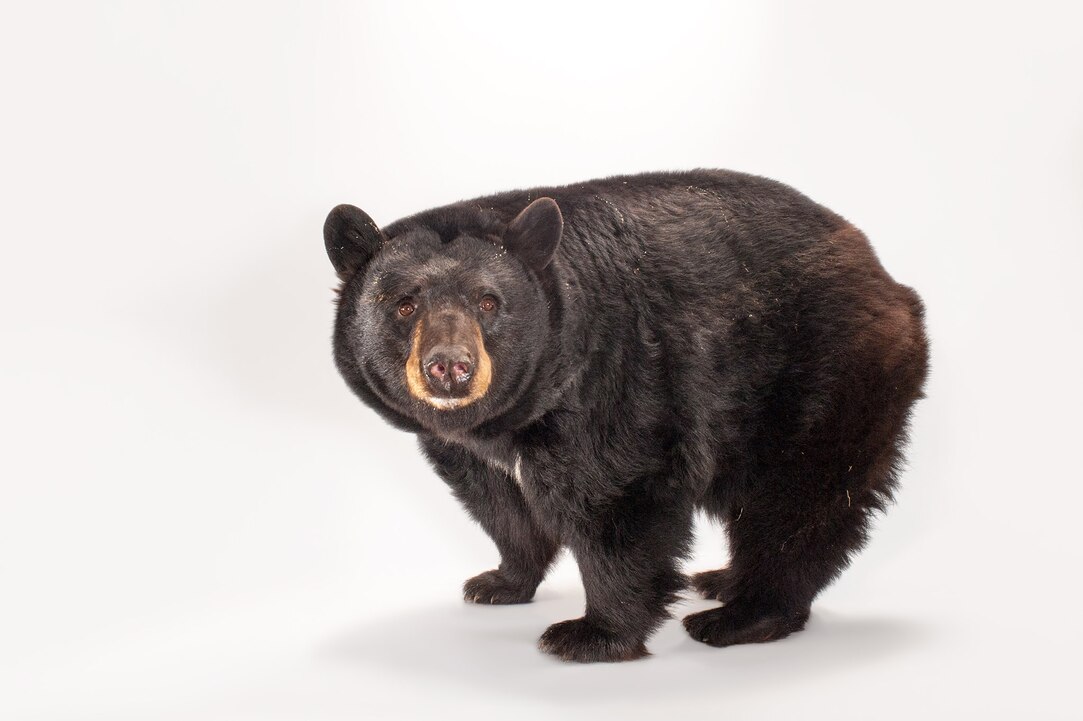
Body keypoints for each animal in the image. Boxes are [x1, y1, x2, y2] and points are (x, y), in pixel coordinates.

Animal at [324, 169, 928, 662]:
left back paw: (741, 614)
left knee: (798, 497)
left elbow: (619, 498)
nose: (450, 366)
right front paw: (501, 580)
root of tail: (886, 278)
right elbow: (498, 500)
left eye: (488, 301)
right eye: (404, 303)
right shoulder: (473, 444)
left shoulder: (618, 375)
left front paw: (591, 633)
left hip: (822, 373)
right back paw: (722, 580)